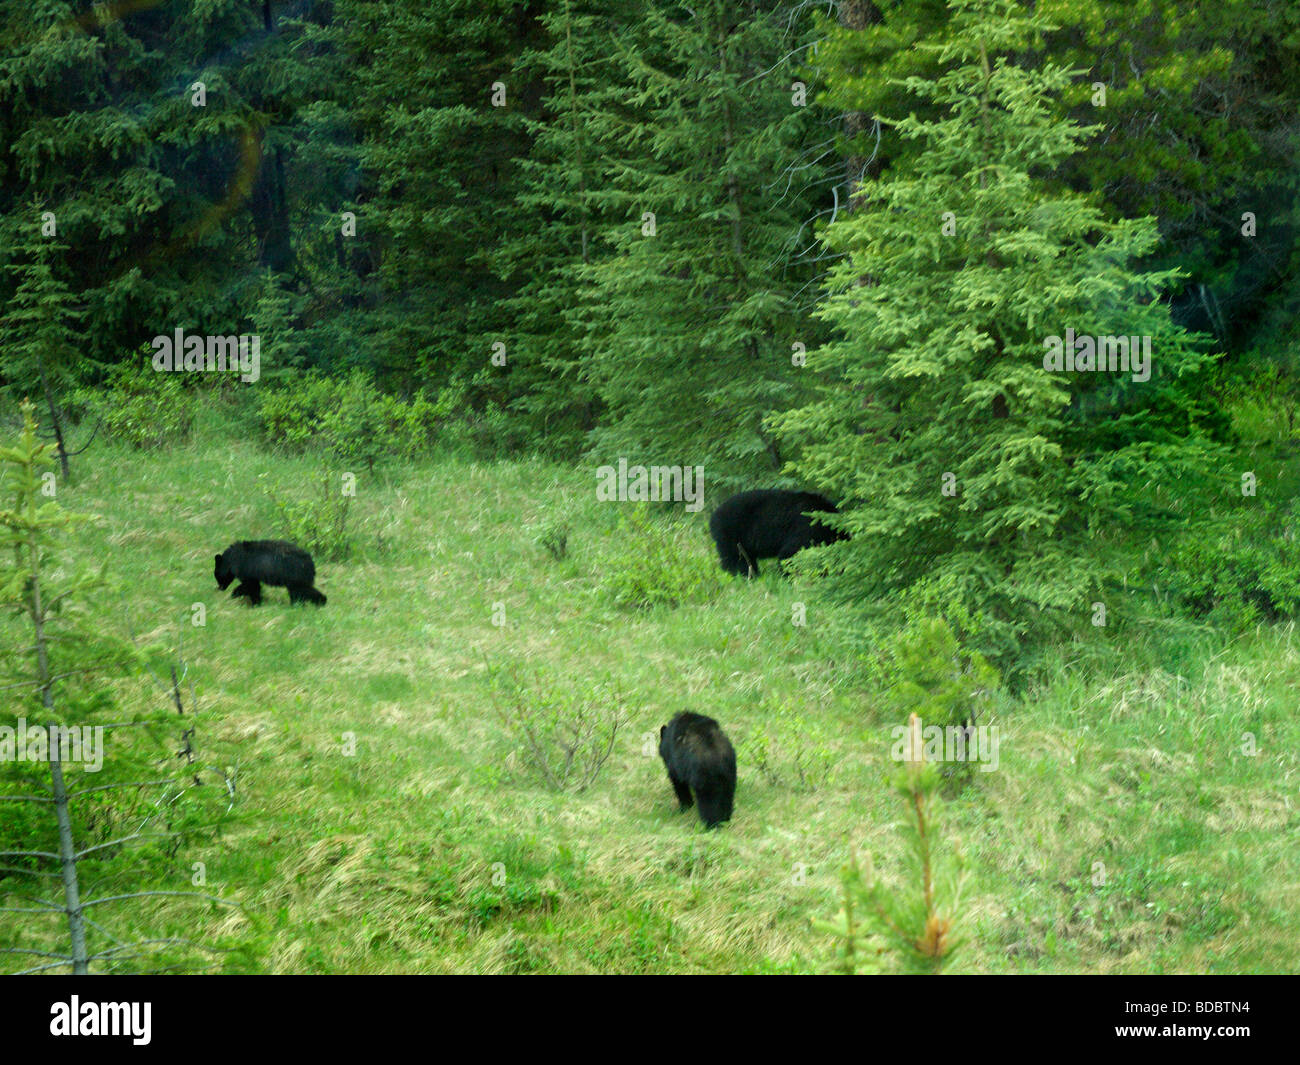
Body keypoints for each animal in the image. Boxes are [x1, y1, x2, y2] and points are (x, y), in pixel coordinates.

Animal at [708, 488, 846, 577]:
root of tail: (713, 516)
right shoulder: (806, 529)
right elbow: (790, 553)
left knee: (747, 559)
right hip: (732, 533)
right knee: (735, 558)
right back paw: (745, 575)